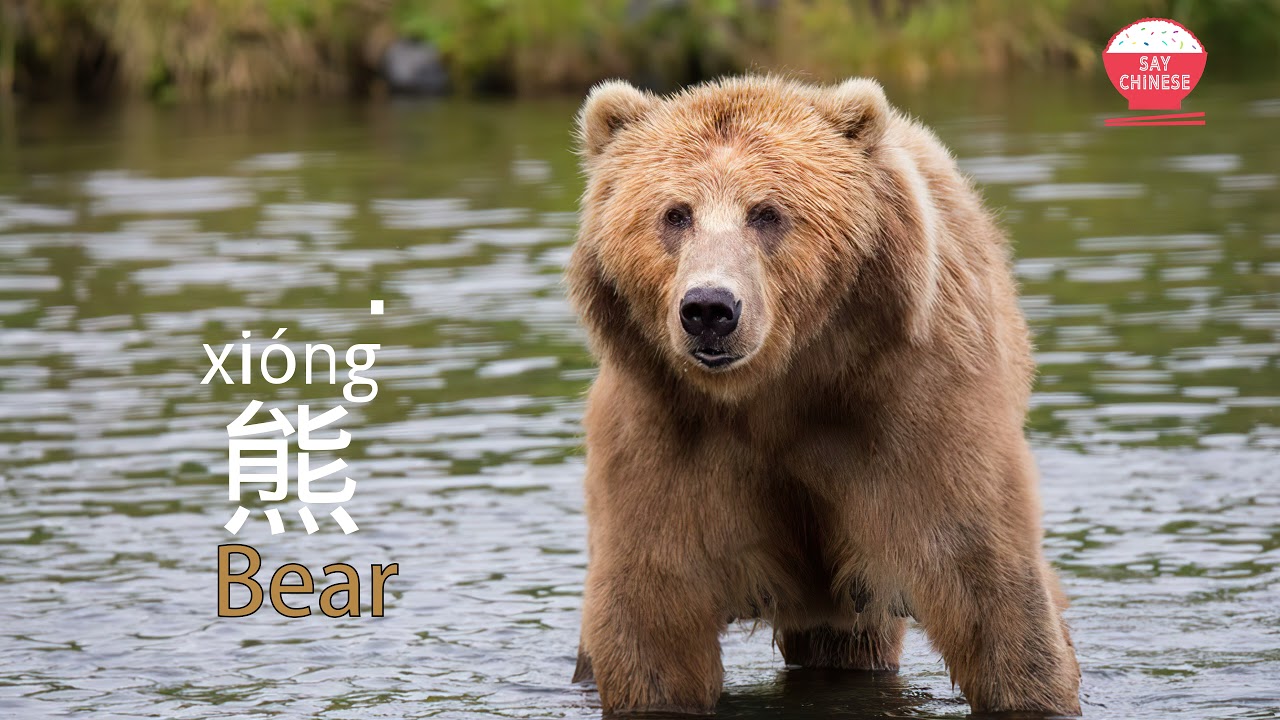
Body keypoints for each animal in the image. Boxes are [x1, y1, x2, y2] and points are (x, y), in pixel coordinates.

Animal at [565, 75, 1081, 716]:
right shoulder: (665, 433)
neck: (778, 387)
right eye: (675, 214)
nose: (709, 308)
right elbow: (653, 614)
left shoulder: (913, 409)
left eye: (766, 213)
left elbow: (986, 579)